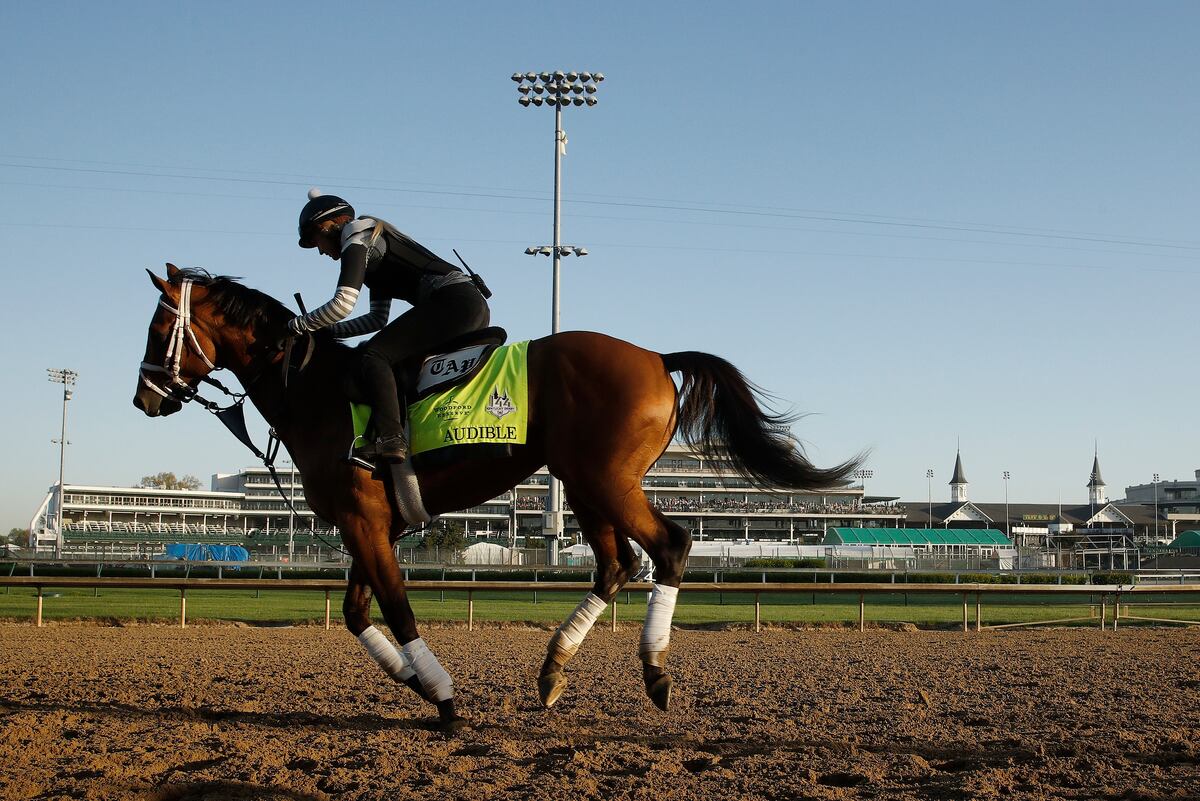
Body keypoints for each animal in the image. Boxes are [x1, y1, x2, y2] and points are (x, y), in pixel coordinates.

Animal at [133, 264, 862, 733]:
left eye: (159, 328)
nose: (144, 396)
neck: (317, 392)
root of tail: (657, 357)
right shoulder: (369, 524)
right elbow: (356, 611)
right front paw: (411, 679)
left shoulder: (364, 522)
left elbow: (396, 608)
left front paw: (442, 696)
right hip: (586, 482)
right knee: (617, 564)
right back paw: (553, 669)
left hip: (606, 479)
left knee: (671, 545)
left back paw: (654, 671)